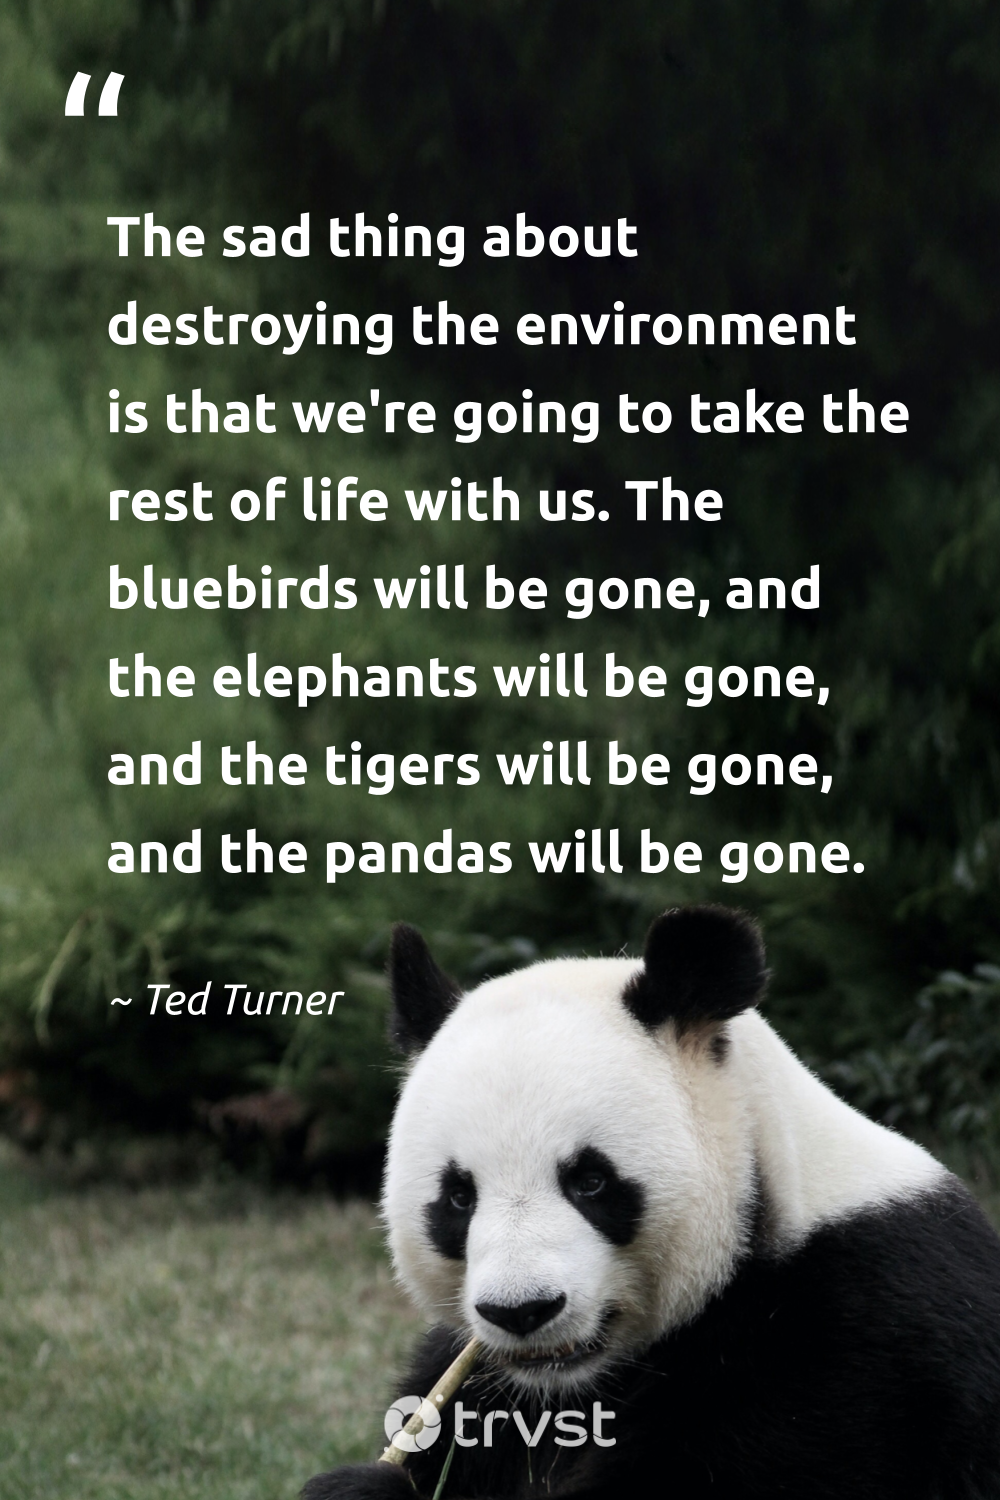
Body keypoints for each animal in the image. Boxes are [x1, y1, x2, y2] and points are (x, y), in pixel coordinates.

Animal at [304, 905, 1000, 1500]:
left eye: (590, 1181)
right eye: (457, 1196)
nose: (522, 1311)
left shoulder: (853, 1342)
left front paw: (366, 1489)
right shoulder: (481, 1382)